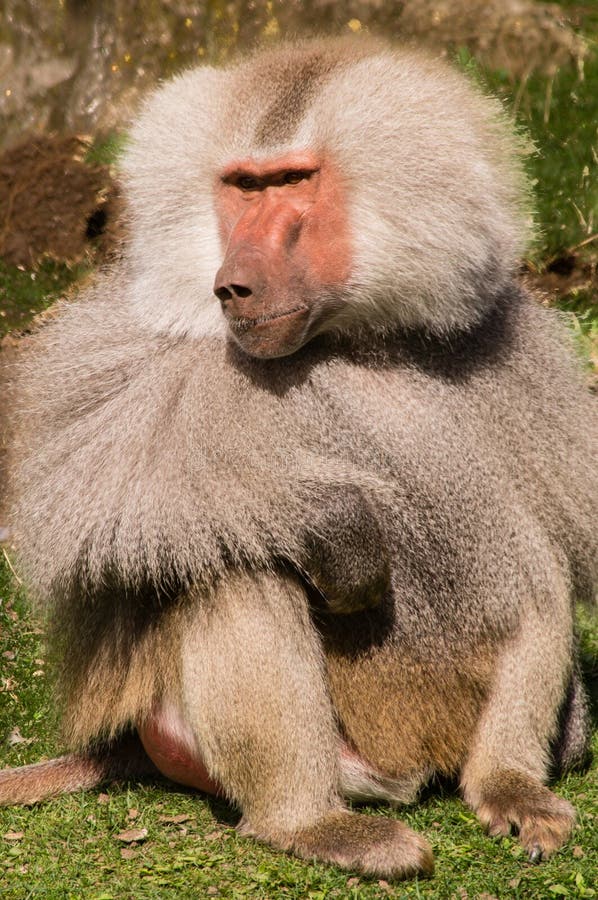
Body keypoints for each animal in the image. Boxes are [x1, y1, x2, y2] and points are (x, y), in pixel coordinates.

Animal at [0, 37, 596, 882]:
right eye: (241, 187)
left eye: (292, 181)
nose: (234, 285)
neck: (348, 342)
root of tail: (416, 762)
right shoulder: (119, 350)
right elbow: (100, 516)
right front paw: (339, 528)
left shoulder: (517, 360)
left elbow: (543, 549)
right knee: (229, 564)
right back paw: (313, 824)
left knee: (530, 558)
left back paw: (508, 783)